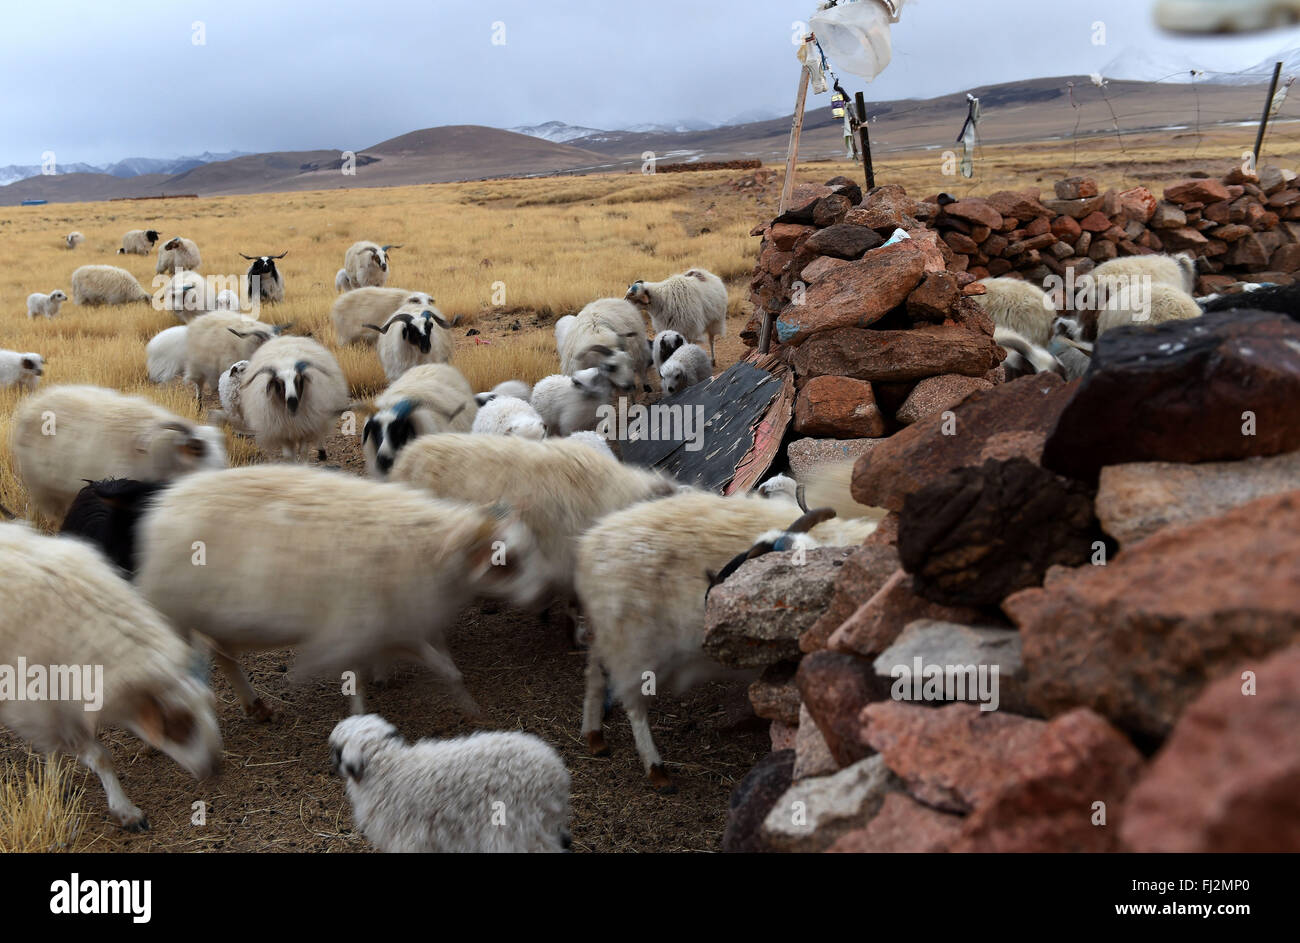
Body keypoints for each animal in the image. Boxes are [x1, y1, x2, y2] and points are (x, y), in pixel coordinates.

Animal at [0, 523, 222, 830]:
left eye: (209, 704)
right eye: (180, 723)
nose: (216, 768)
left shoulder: (57, 705)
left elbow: (57, 752)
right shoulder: (36, 707)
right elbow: (96, 757)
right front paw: (125, 811)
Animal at [127, 464, 550, 719]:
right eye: (504, 561)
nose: (542, 594)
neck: (425, 544)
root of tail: (162, 507)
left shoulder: (393, 622)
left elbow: (437, 664)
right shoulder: (355, 625)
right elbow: (362, 677)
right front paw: (362, 714)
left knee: (226, 659)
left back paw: (255, 706)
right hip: (177, 619)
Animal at [330, 715, 571, 853]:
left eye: (337, 750)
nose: (332, 766)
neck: (388, 765)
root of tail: (556, 775)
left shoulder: (410, 839)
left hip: (518, 827)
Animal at [576, 494, 876, 792]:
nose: (714, 583)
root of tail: (592, 543)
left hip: (612, 636)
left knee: (594, 673)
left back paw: (594, 735)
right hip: (637, 649)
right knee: (633, 704)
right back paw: (657, 769)